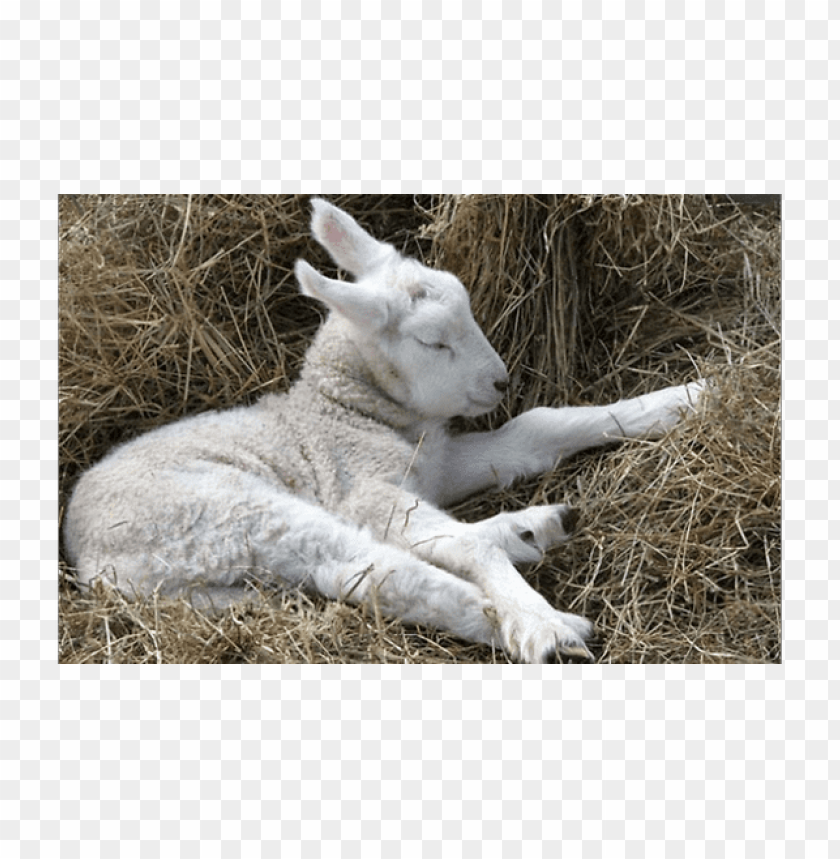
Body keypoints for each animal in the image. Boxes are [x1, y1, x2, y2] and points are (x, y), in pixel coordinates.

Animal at [63, 198, 706, 663]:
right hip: (228, 513)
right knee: (380, 573)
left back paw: (533, 529)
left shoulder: (431, 464)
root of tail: (90, 565)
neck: (344, 409)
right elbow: (445, 540)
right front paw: (534, 619)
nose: (499, 382)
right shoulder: (362, 485)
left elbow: (537, 430)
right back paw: (545, 625)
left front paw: (690, 398)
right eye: (433, 342)